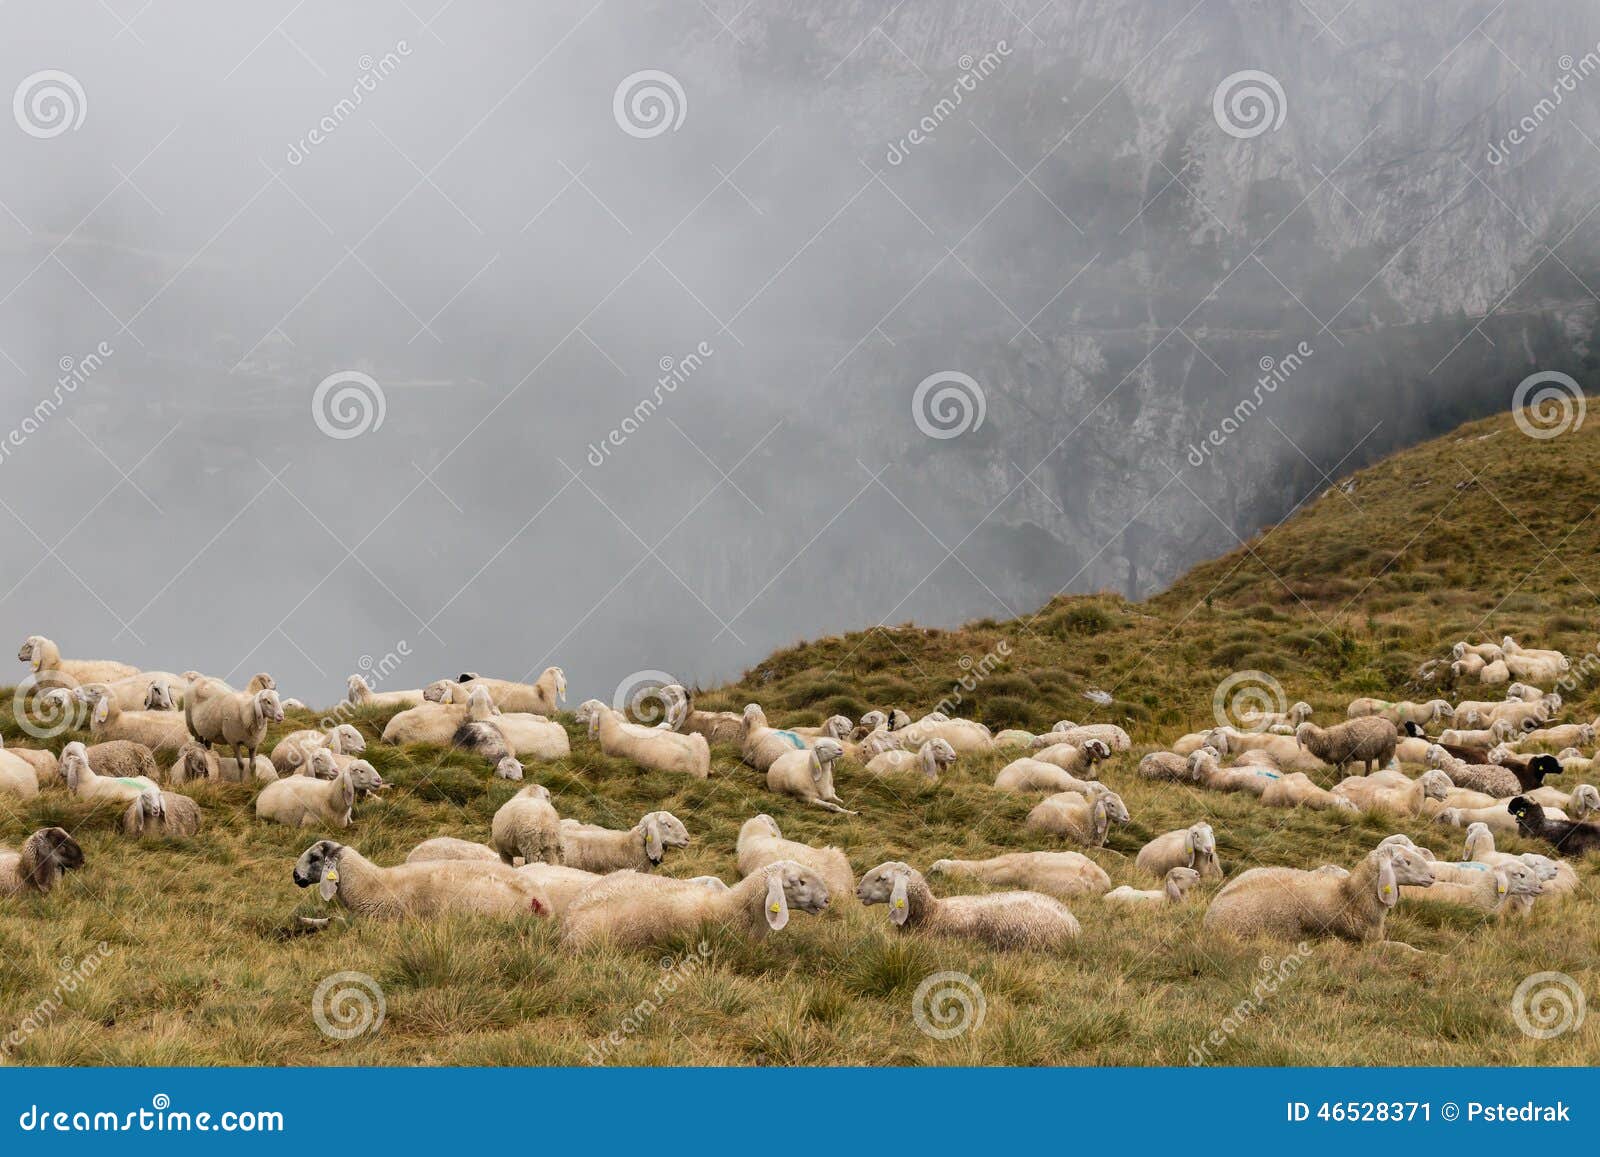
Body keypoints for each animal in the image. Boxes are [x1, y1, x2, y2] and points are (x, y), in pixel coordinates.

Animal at [1202, 842, 1435, 943]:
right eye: (1405, 861)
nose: (1433, 876)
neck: (1350, 895)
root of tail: (1210, 913)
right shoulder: (1368, 943)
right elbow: (1405, 948)